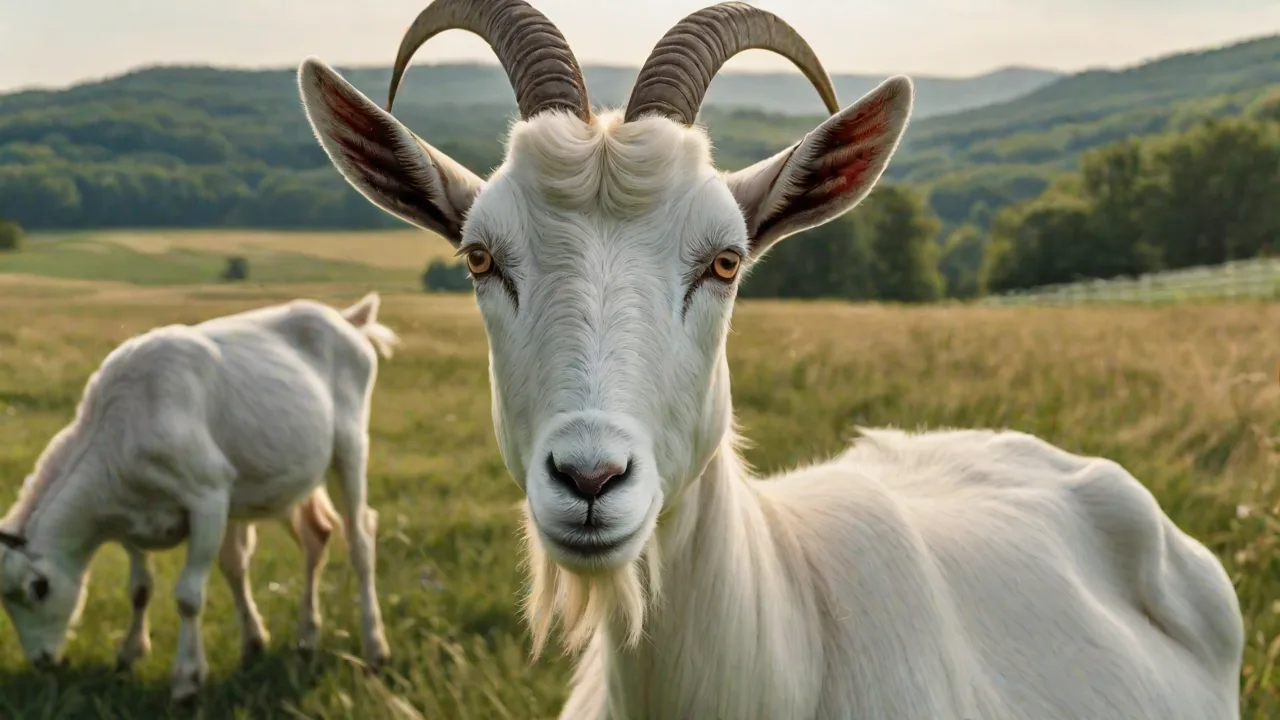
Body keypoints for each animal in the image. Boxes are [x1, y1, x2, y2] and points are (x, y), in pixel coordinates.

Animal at [0, 293, 398, 704]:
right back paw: (303, 638)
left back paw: (375, 649)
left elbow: (189, 595)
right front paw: (130, 653)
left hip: (350, 449)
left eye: (39, 588)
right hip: (292, 473)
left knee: (360, 539)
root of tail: (346, 318)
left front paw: (187, 680)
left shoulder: (209, 495)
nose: (42, 660)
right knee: (315, 534)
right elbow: (141, 589)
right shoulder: (130, 518)